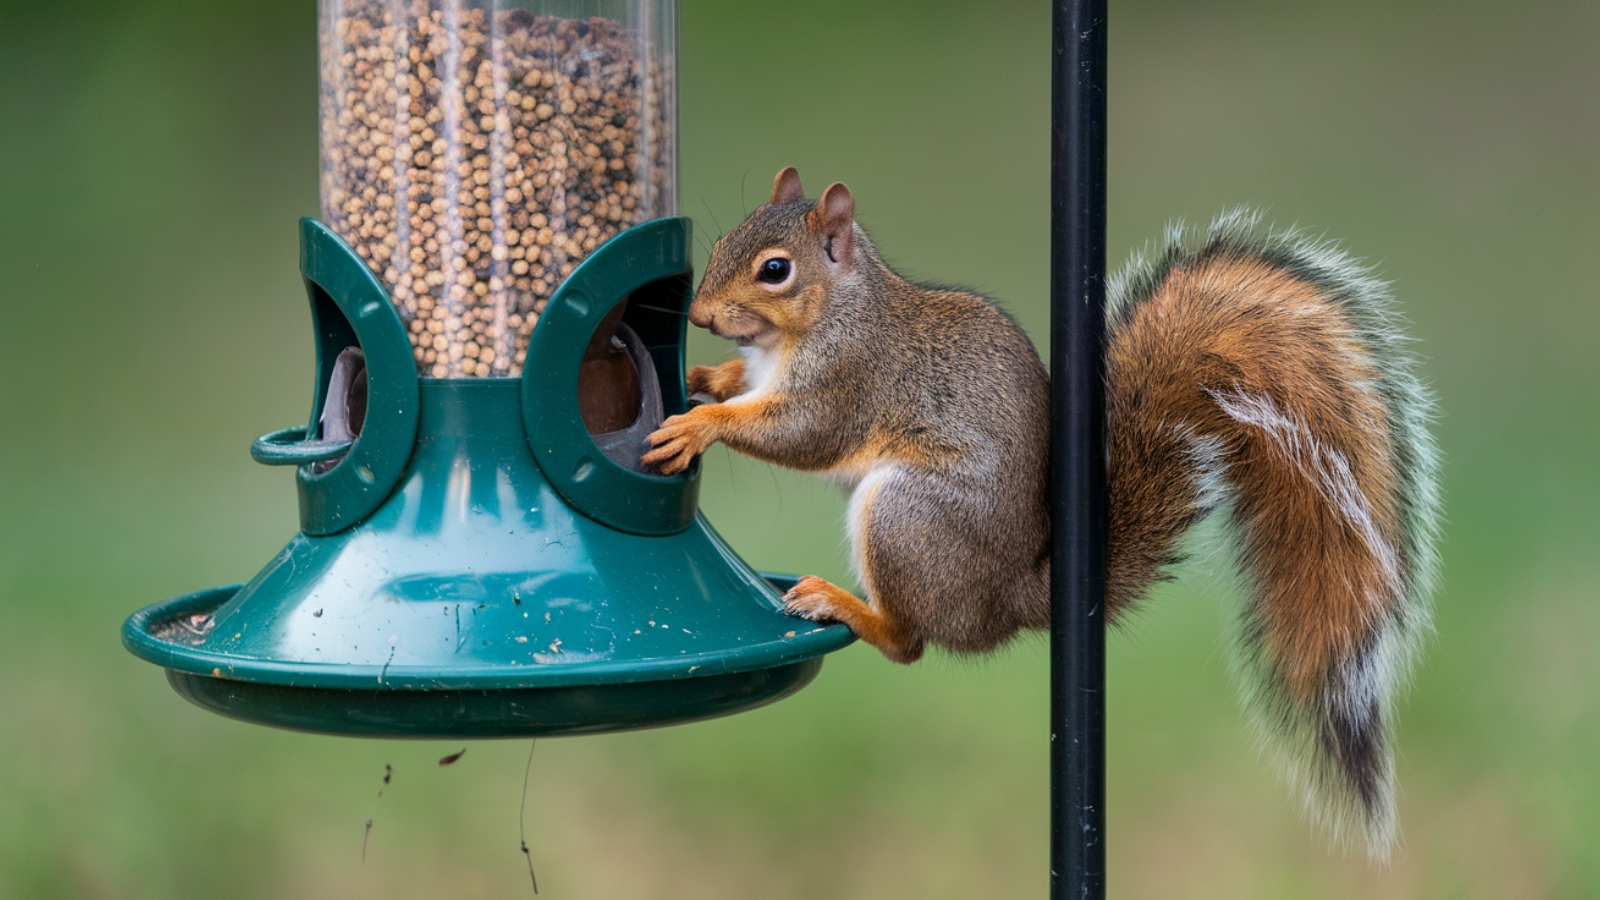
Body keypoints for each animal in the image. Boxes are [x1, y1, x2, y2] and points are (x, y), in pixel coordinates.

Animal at [643, 167, 1440, 857]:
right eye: (722, 241)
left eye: (774, 269)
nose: (700, 315)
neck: (823, 317)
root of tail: (1014, 599)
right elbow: (744, 386)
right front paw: (706, 377)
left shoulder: (850, 379)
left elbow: (803, 435)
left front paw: (701, 424)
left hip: (906, 516)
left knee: (909, 642)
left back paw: (844, 604)